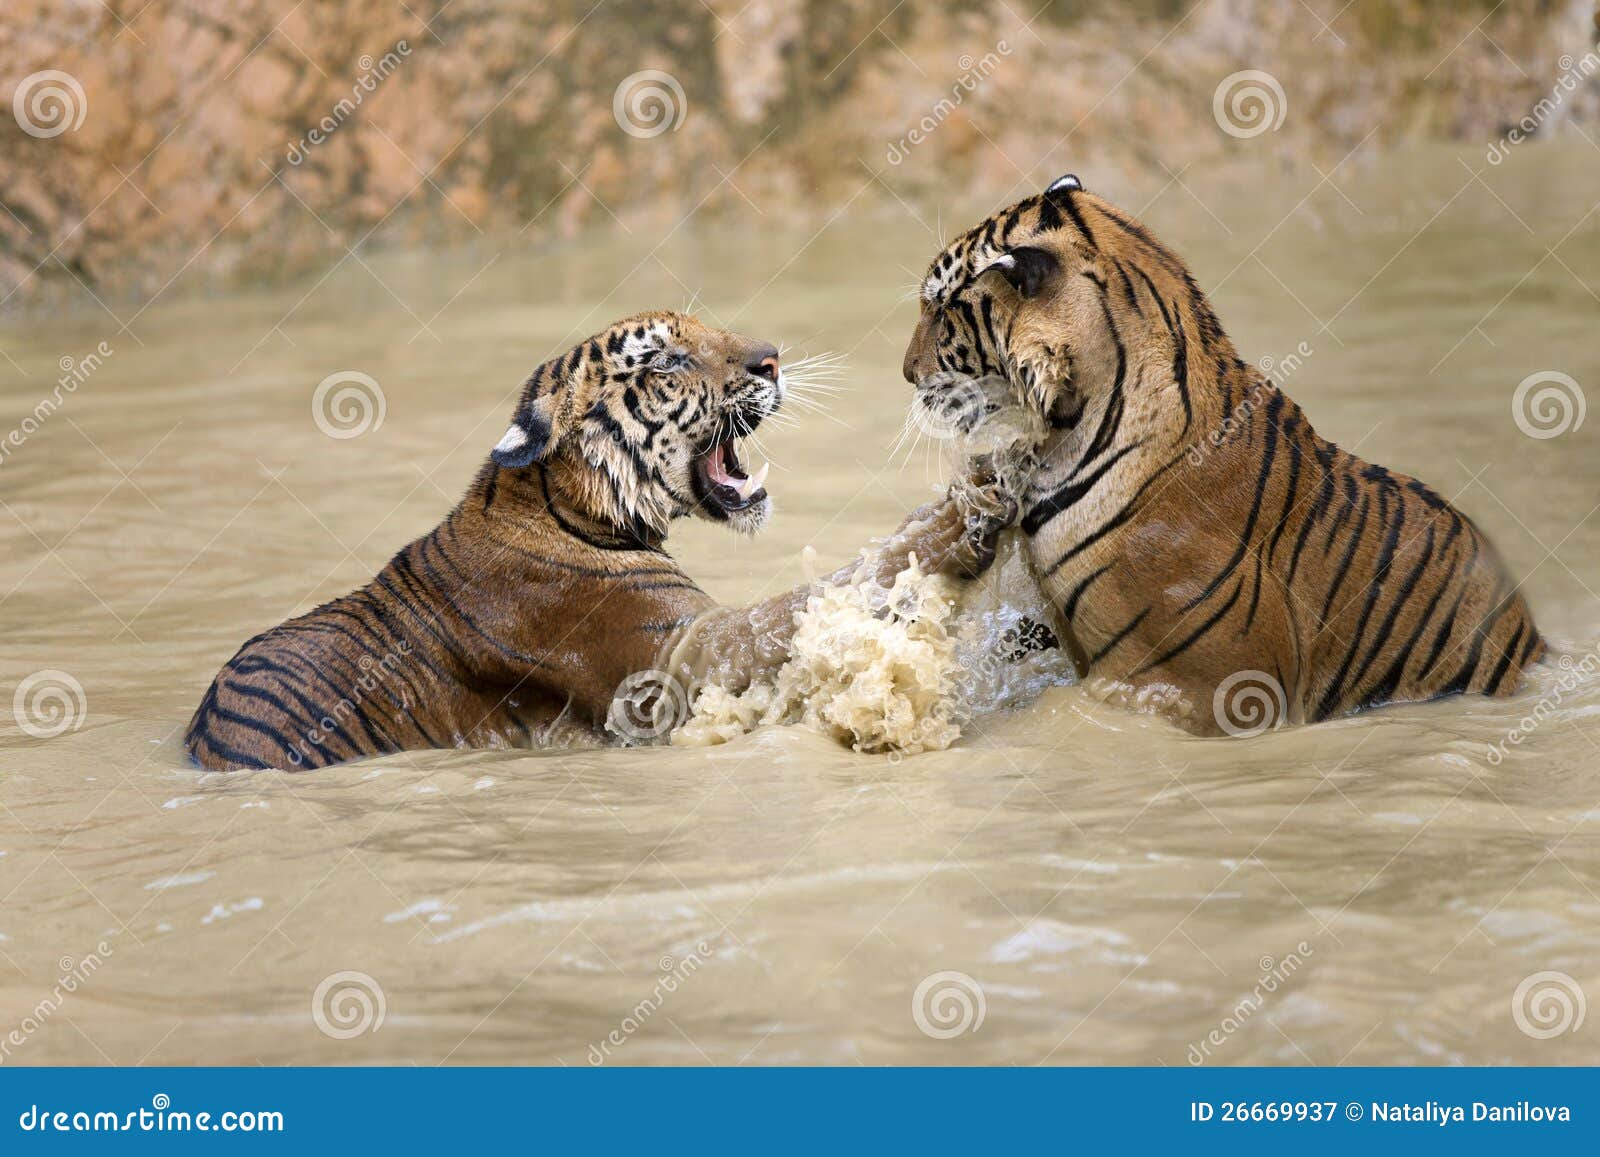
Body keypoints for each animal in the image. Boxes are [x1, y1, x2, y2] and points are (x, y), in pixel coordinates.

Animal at [185, 310, 994, 770]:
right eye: (668, 358)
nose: (772, 358)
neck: (565, 504)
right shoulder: (679, 657)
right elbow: (799, 600)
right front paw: (958, 515)